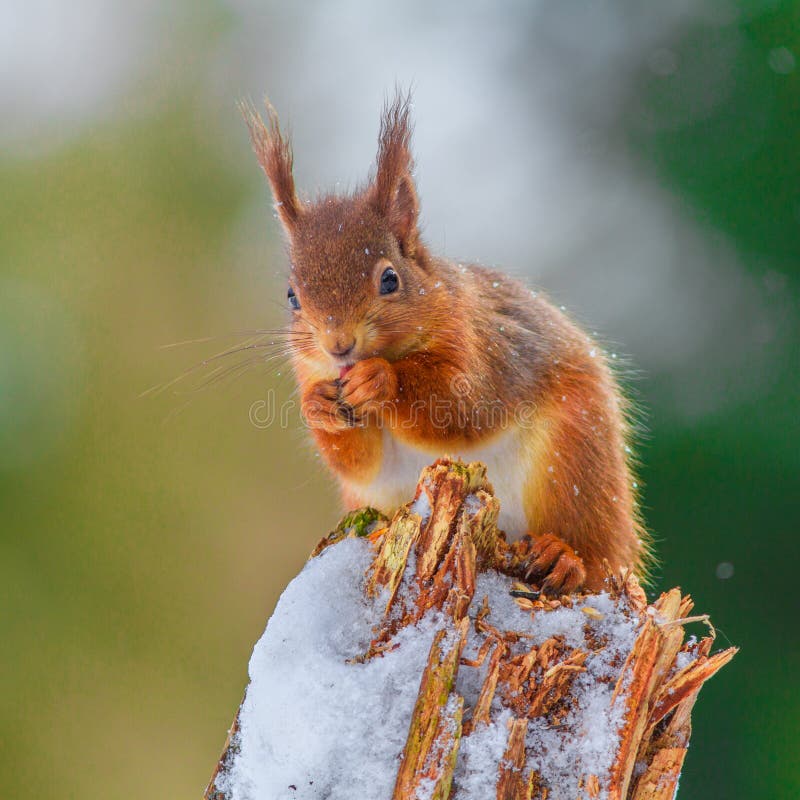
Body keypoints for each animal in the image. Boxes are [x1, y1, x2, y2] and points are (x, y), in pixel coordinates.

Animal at [242, 93, 648, 594]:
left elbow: (463, 406)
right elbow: (361, 462)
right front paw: (318, 405)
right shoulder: (315, 377)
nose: (338, 344)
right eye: (292, 297)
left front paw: (382, 380)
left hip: (577, 463)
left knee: (596, 553)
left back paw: (563, 558)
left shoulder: (483, 348)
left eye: (390, 279)